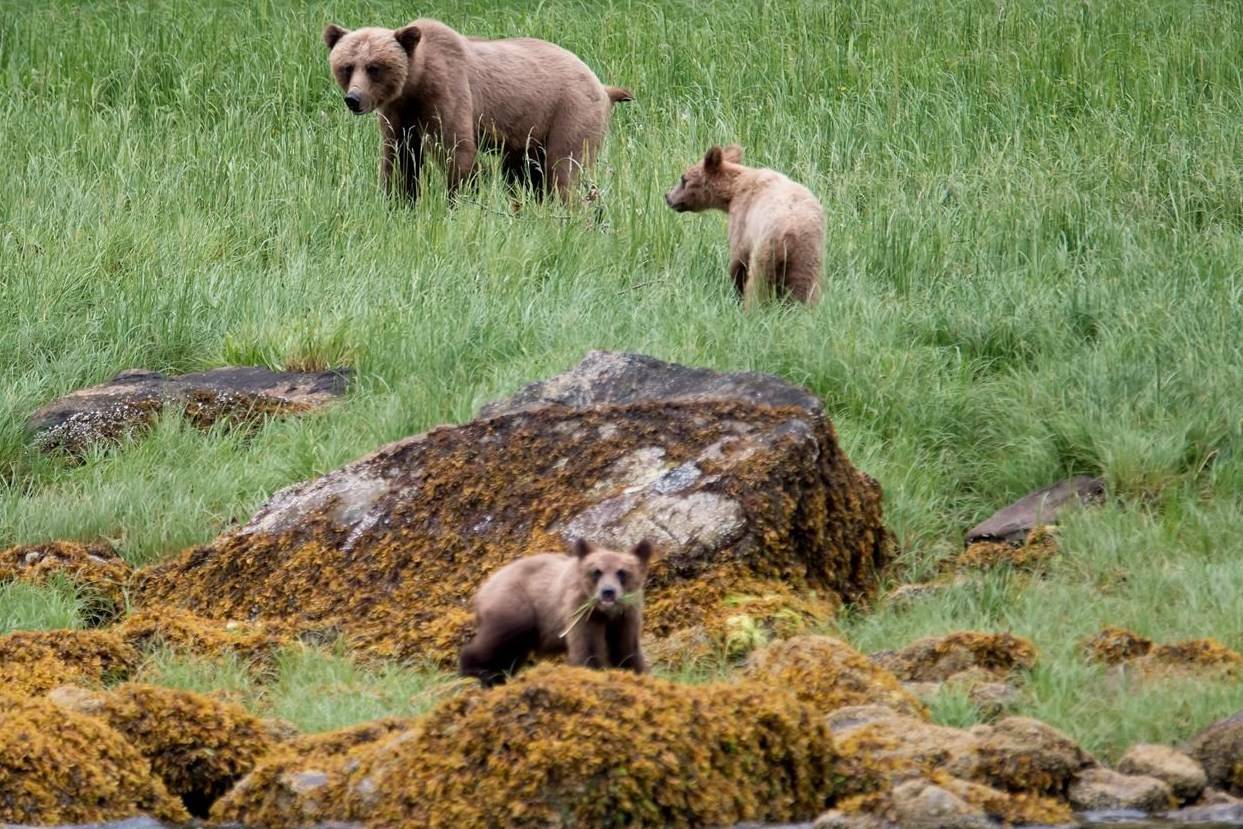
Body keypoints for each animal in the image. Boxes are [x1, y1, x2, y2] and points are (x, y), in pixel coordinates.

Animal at [323, 19, 632, 203]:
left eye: (374, 67)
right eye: (347, 66)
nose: (354, 99)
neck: (416, 82)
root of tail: (602, 85)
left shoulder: (448, 90)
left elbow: (457, 150)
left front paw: (458, 201)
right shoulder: (399, 113)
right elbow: (400, 157)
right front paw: (399, 202)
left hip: (570, 111)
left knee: (565, 170)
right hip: (530, 134)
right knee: (527, 175)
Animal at [458, 538, 652, 687]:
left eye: (622, 572)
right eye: (596, 572)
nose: (608, 592)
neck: (606, 613)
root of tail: (483, 588)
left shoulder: (626, 616)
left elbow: (626, 648)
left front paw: (636, 672)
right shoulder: (581, 611)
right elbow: (586, 647)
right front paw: (592, 671)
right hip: (516, 606)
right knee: (499, 639)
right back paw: (476, 669)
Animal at [665, 145, 824, 309]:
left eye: (684, 179)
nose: (668, 197)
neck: (733, 190)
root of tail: (791, 231)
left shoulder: (742, 217)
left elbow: (738, 258)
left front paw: (736, 292)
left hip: (766, 248)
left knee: (758, 283)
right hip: (808, 253)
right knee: (806, 285)